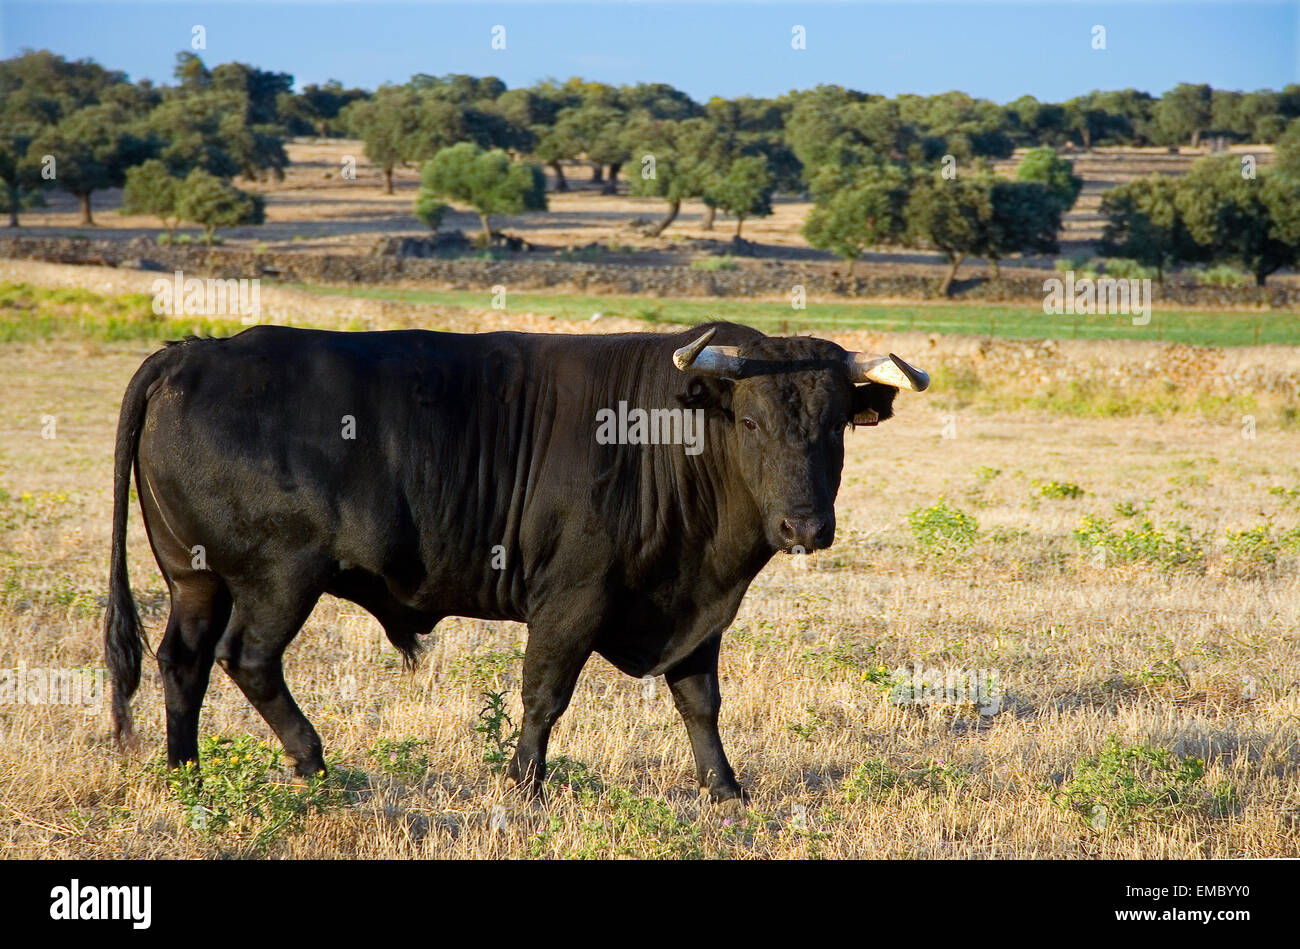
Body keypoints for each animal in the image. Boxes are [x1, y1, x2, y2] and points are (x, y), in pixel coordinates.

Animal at [104, 321, 928, 805]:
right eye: (752, 421)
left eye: (835, 425)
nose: (805, 525)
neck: (669, 430)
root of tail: (194, 350)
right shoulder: (572, 600)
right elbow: (544, 695)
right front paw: (525, 786)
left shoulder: (696, 609)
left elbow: (699, 699)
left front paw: (724, 790)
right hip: (279, 579)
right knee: (248, 660)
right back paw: (313, 762)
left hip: (195, 578)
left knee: (183, 660)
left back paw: (187, 771)